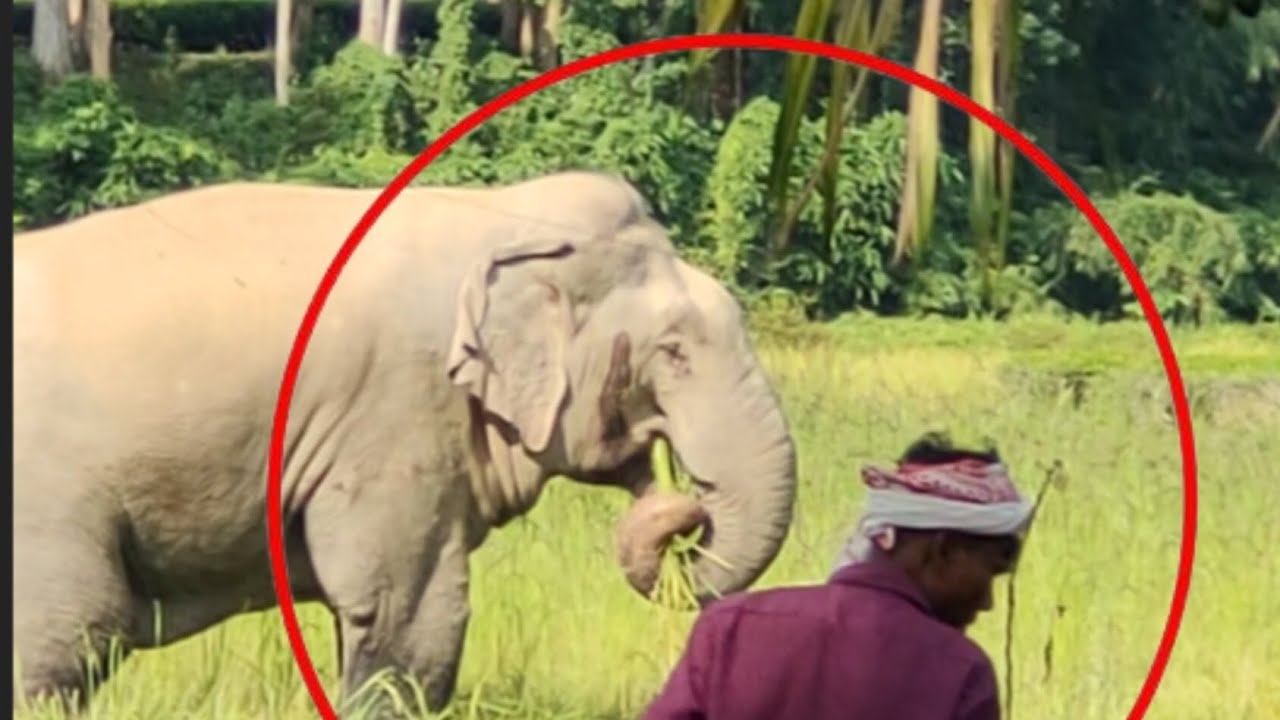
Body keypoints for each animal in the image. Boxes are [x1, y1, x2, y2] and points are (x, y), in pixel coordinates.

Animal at [12, 170, 798, 715]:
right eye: (674, 353)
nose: (675, 502)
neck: (497, 216)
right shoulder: (398, 410)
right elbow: (404, 608)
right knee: (66, 641)